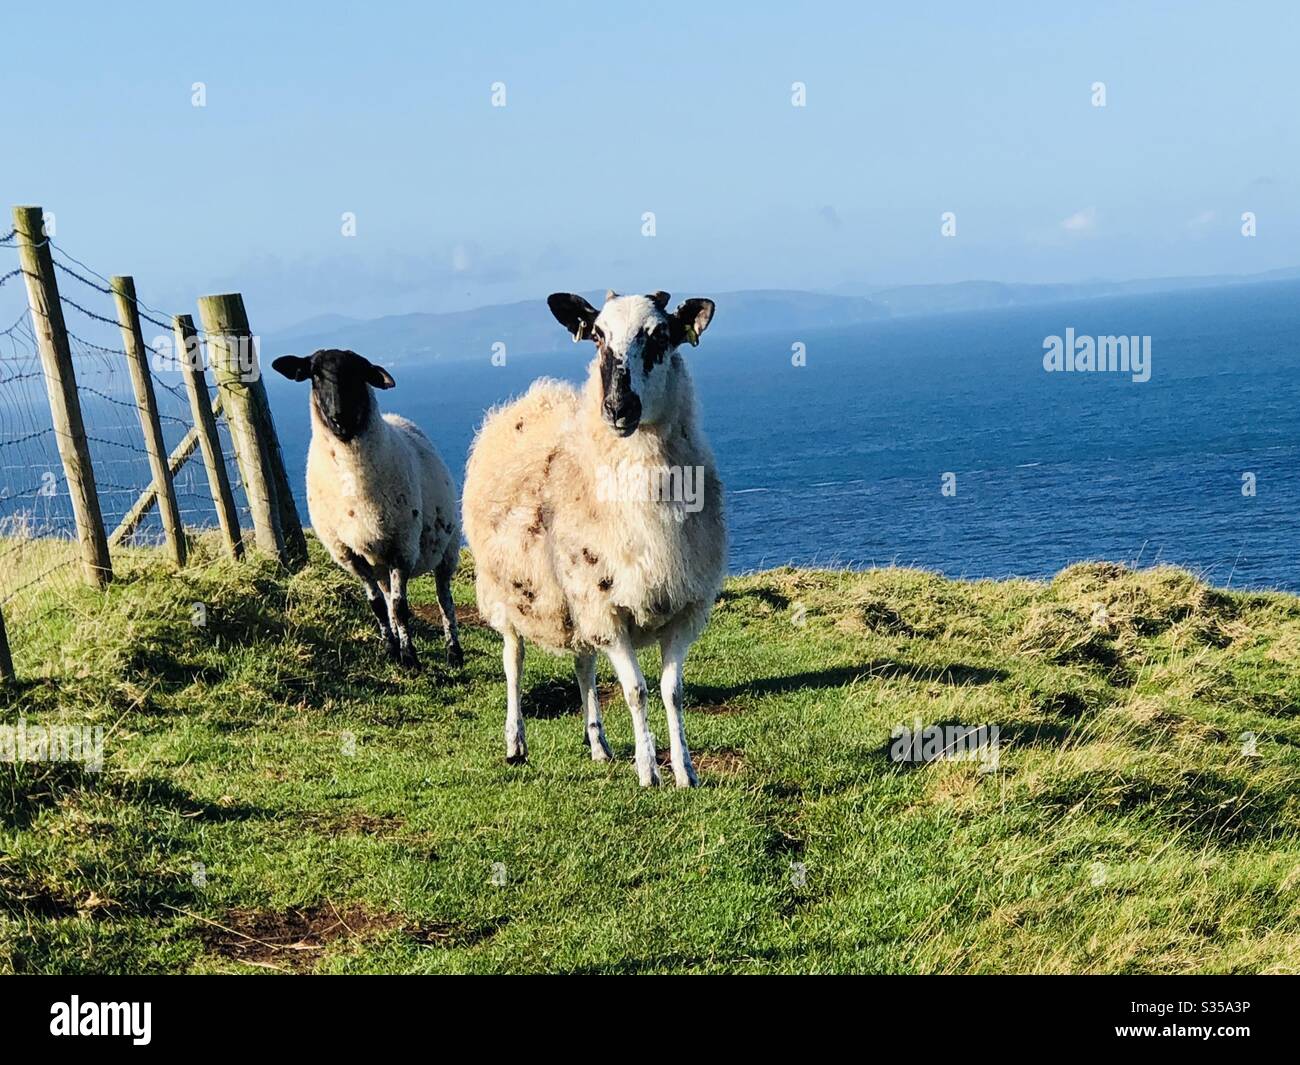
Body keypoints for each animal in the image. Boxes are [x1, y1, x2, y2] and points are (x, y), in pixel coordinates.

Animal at [271, 348, 462, 670]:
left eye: (358, 374)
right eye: (315, 375)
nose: (340, 418)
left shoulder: (402, 548)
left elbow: (400, 607)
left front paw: (410, 658)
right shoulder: (349, 554)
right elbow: (378, 607)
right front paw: (391, 650)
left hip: (447, 549)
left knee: (443, 598)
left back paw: (454, 651)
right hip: (379, 562)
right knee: (386, 595)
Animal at [462, 290, 725, 786]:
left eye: (660, 335)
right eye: (598, 336)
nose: (618, 408)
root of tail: (534, 396)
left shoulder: (682, 609)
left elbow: (672, 691)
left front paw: (685, 771)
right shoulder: (608, 610)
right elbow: (637, 691)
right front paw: (648, 770)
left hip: (574, 603)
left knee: (583, 664)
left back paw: (598, 743)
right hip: (505, 594)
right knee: (513, 661)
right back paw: (516, 743)